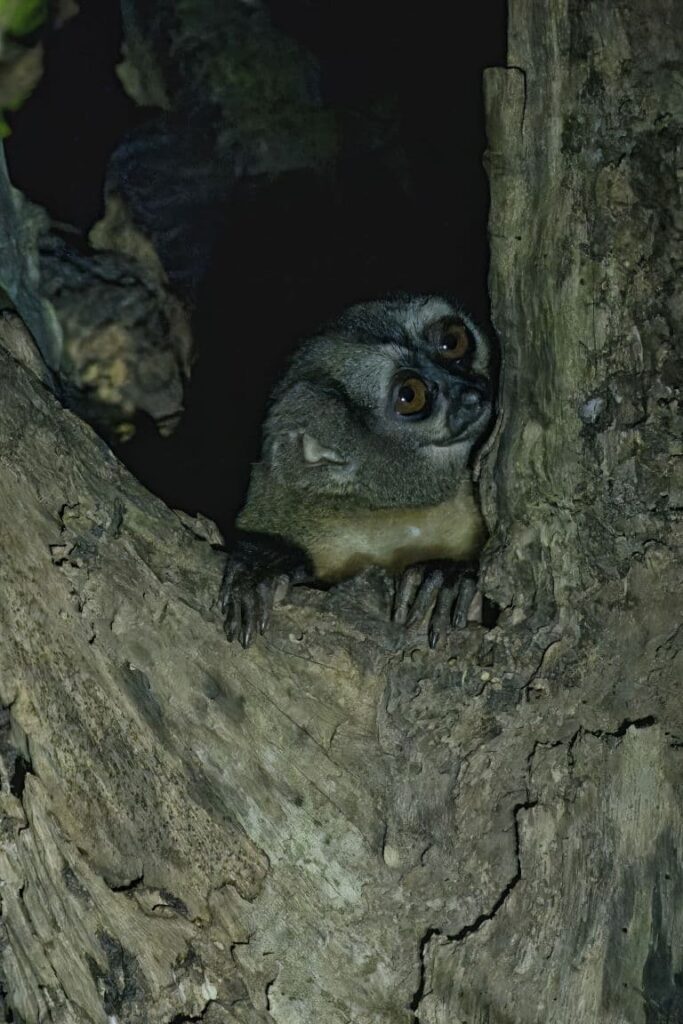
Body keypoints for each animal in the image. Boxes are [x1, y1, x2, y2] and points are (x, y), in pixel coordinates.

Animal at [220, 294, 493, 648]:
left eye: (452, 342)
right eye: (410, 395)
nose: (471, 392)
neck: (376, 510)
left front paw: (447, 578)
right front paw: (264, 564)